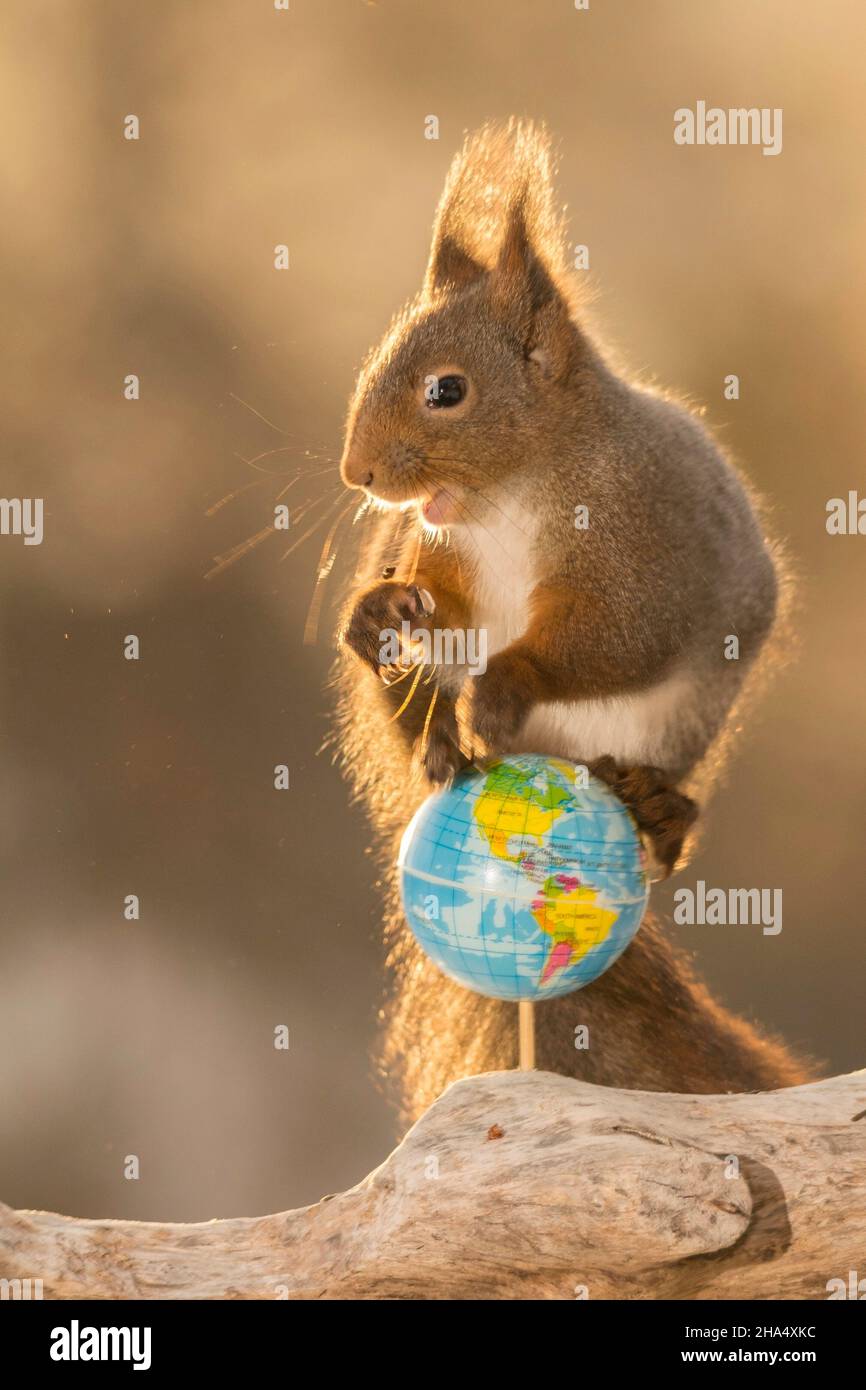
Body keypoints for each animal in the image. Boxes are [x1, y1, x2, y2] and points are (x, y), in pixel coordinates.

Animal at [333, 120, 813, 1123]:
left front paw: (503, 688)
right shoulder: (445, 560)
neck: (512, 493)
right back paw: (438, 740)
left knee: (657, 782)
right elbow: (450, 620)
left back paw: (655, 805)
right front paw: (382, 612)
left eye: (447, 390)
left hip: (675, 724)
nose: (358, 475)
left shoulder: (639, 551)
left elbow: (612, 637)